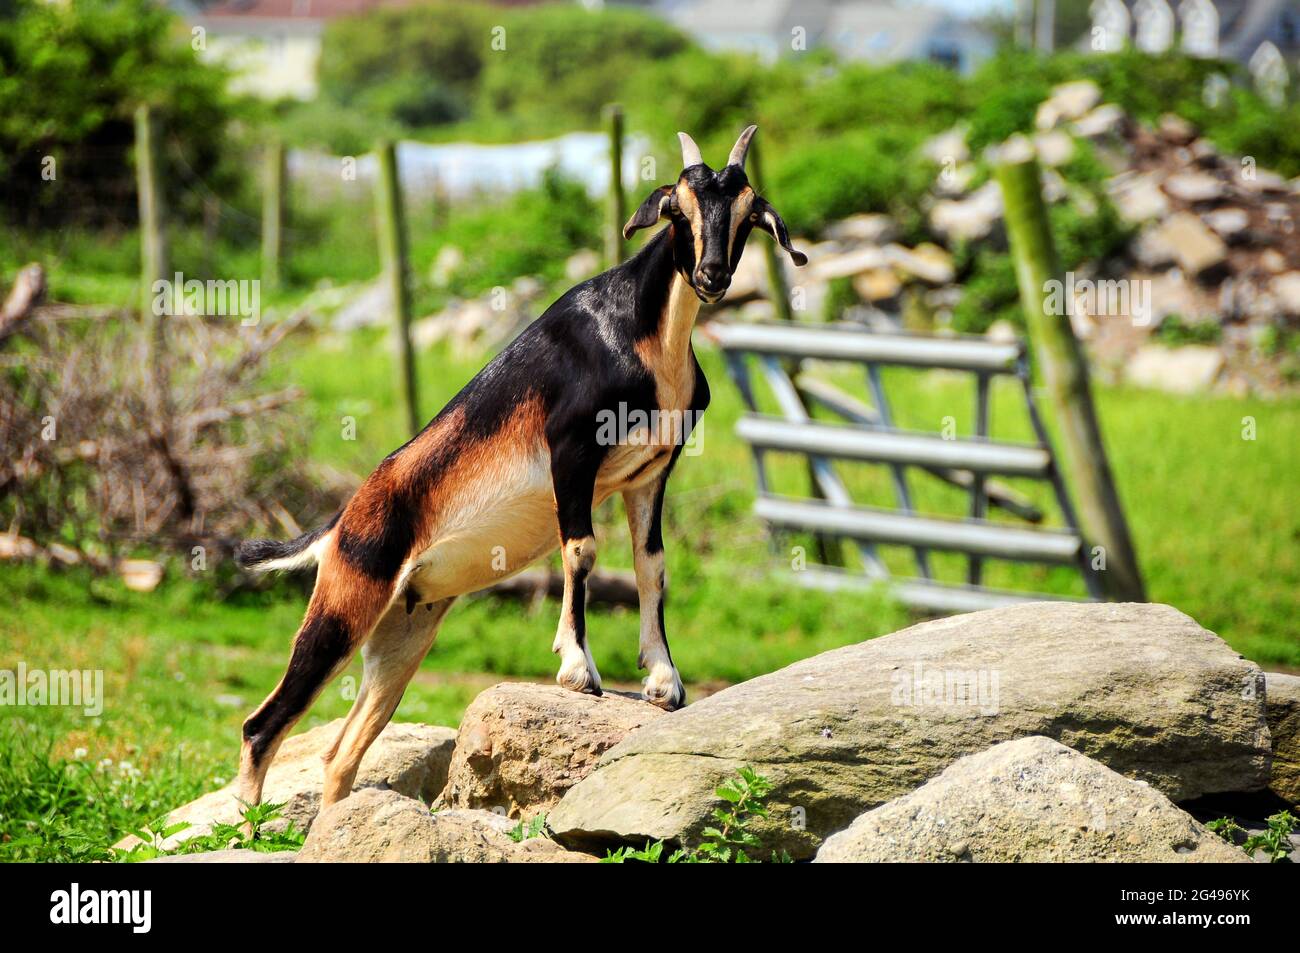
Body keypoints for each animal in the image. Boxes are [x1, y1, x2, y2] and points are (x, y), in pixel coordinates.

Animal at [232, 125, 807, 811]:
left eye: (747, 213)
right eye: (678, 208)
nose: (712, 274)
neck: (636, 333)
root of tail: (342, 522)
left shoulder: (650, 474)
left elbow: (653, 565)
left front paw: (665, 682)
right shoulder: (571, 453)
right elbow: (583, 550)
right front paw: (578, 670)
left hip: (403, 631)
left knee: (340, 754)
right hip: (346, 604)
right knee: (262, 726)